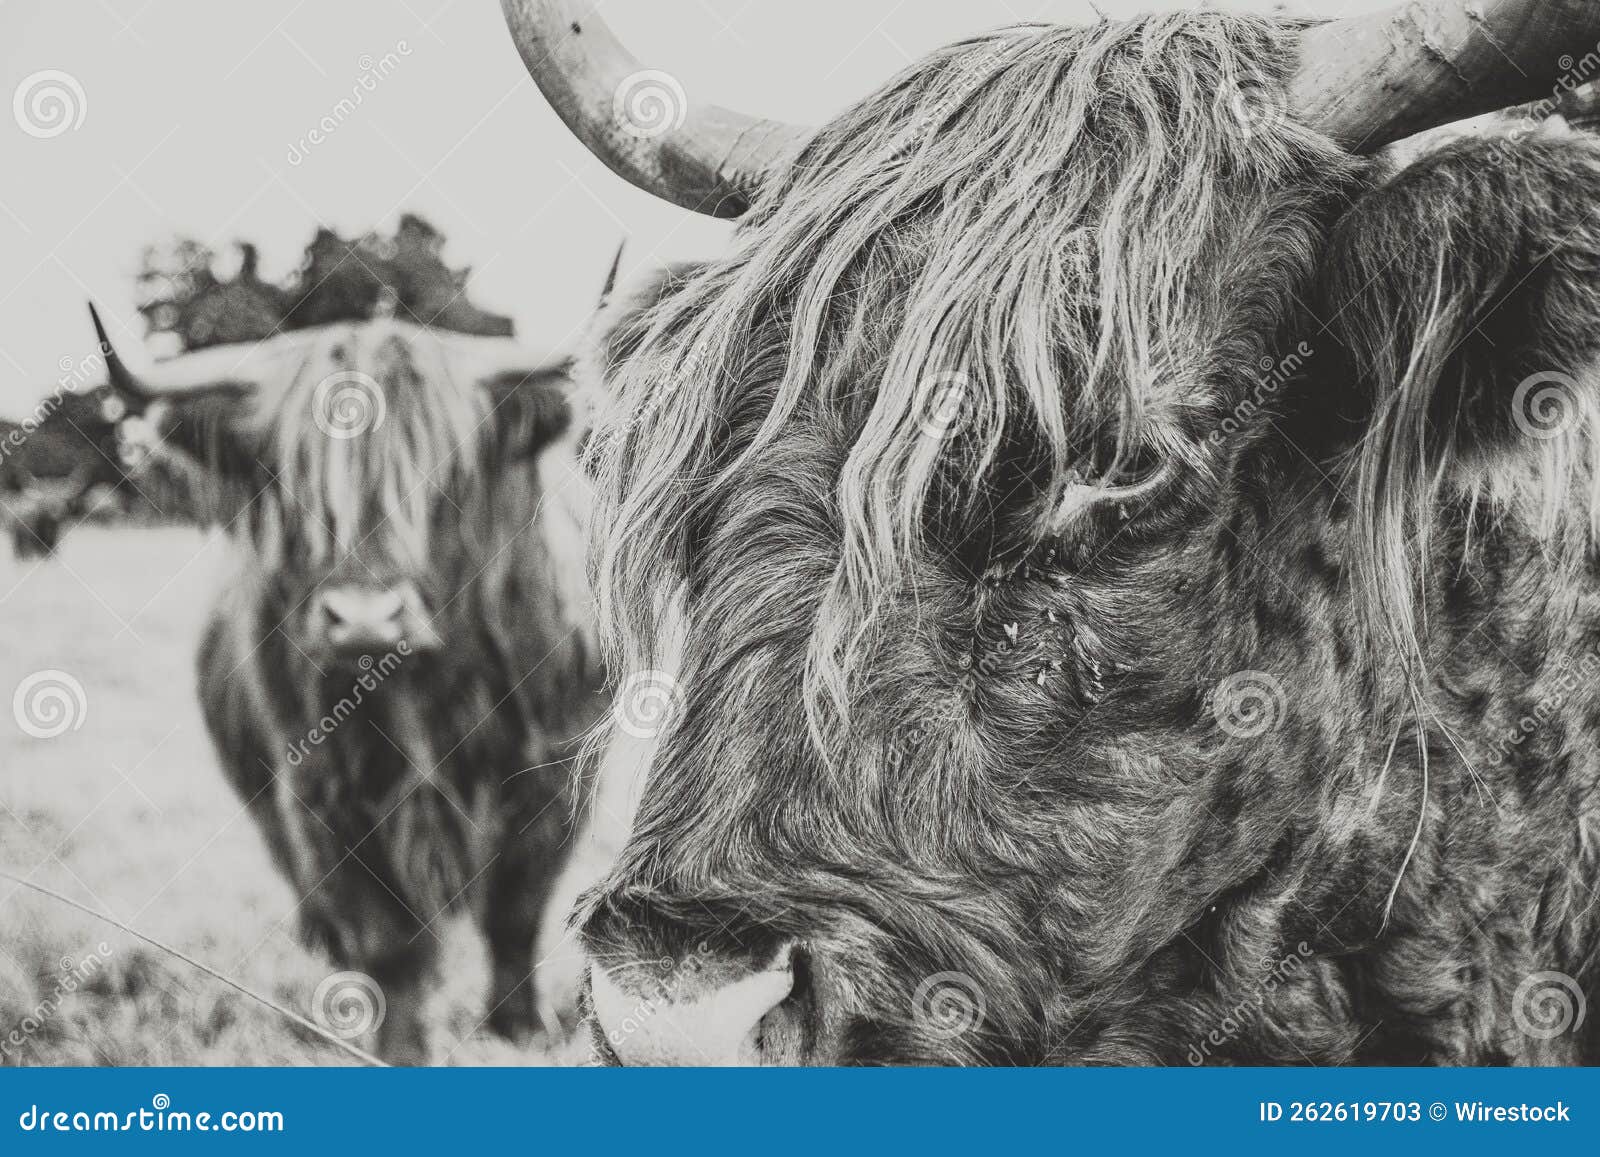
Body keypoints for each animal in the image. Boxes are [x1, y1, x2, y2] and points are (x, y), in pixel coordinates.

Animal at [90, 303, 608, 1063]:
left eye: (446, 475)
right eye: (291, 482)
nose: (365, 619)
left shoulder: (556, 778)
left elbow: (517, 914)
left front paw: (522, 1028)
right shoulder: (322, 797)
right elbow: (389, 942)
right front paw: (401, 1049)